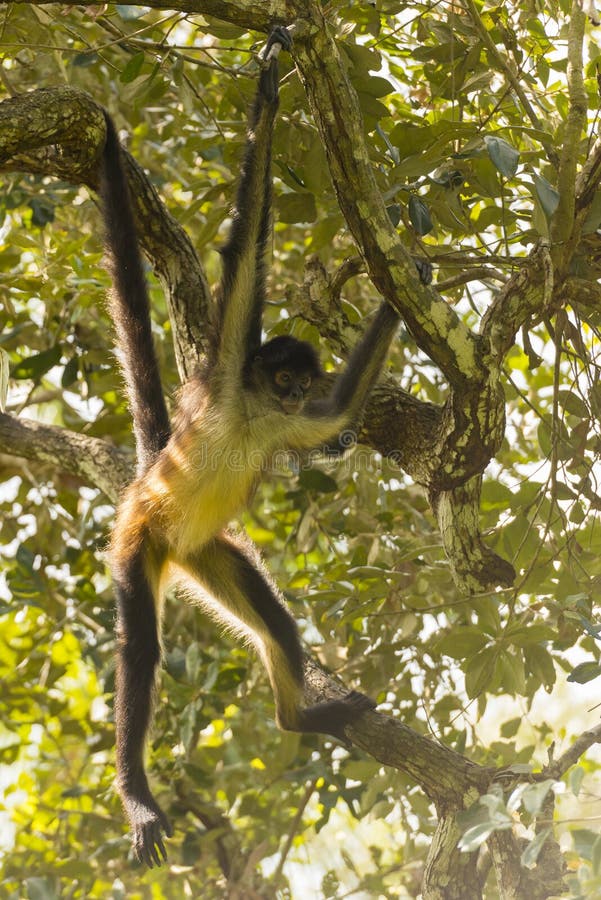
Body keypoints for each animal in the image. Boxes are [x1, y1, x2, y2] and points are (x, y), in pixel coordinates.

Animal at [99, 26, 432, 868]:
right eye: (279, 374)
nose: (287, 393)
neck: (250, 414)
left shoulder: (287, 425)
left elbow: (337, 414)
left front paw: (403, 271)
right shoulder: (221, 369)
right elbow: (245, 253)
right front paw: (270, 88)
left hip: (205, 552)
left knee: (275, 624)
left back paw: (297, 719)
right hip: (139, 539)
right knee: (141, 655)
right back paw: (138, 796)